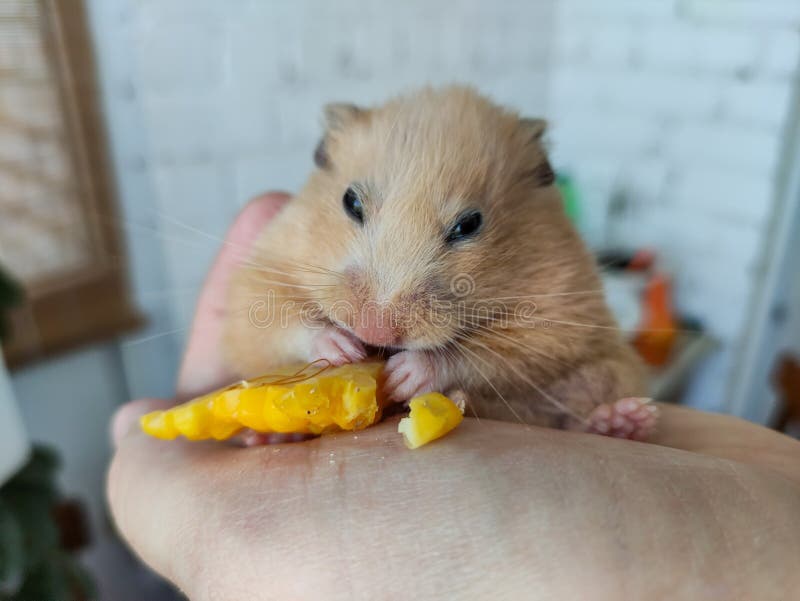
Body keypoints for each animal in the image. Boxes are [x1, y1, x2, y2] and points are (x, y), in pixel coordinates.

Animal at [223, 86, 656, 440]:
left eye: (469, 225)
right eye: (351, 202)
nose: (375, 329)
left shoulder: (556, 316)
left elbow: (477, 355)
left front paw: (405, 374)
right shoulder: (263, 270)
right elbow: (276, 319)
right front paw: (341, 348)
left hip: (611, 371)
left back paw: (625, 421)